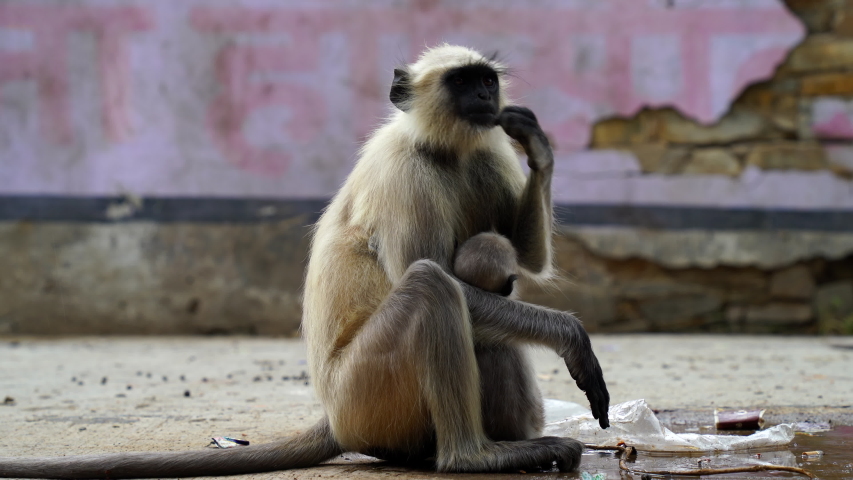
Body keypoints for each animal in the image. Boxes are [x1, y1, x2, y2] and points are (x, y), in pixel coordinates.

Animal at [0, 44, 608, 478]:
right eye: (462, 81)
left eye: (487, 80)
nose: (484, 93)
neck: (442, 149)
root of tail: (335, 415)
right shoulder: (406, 176)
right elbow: (444, 276)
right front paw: (572, 336)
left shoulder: (486, 151)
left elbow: (529, 259)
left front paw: (539, 146)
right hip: (366, 391)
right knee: (433, 284)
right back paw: (474, 456)